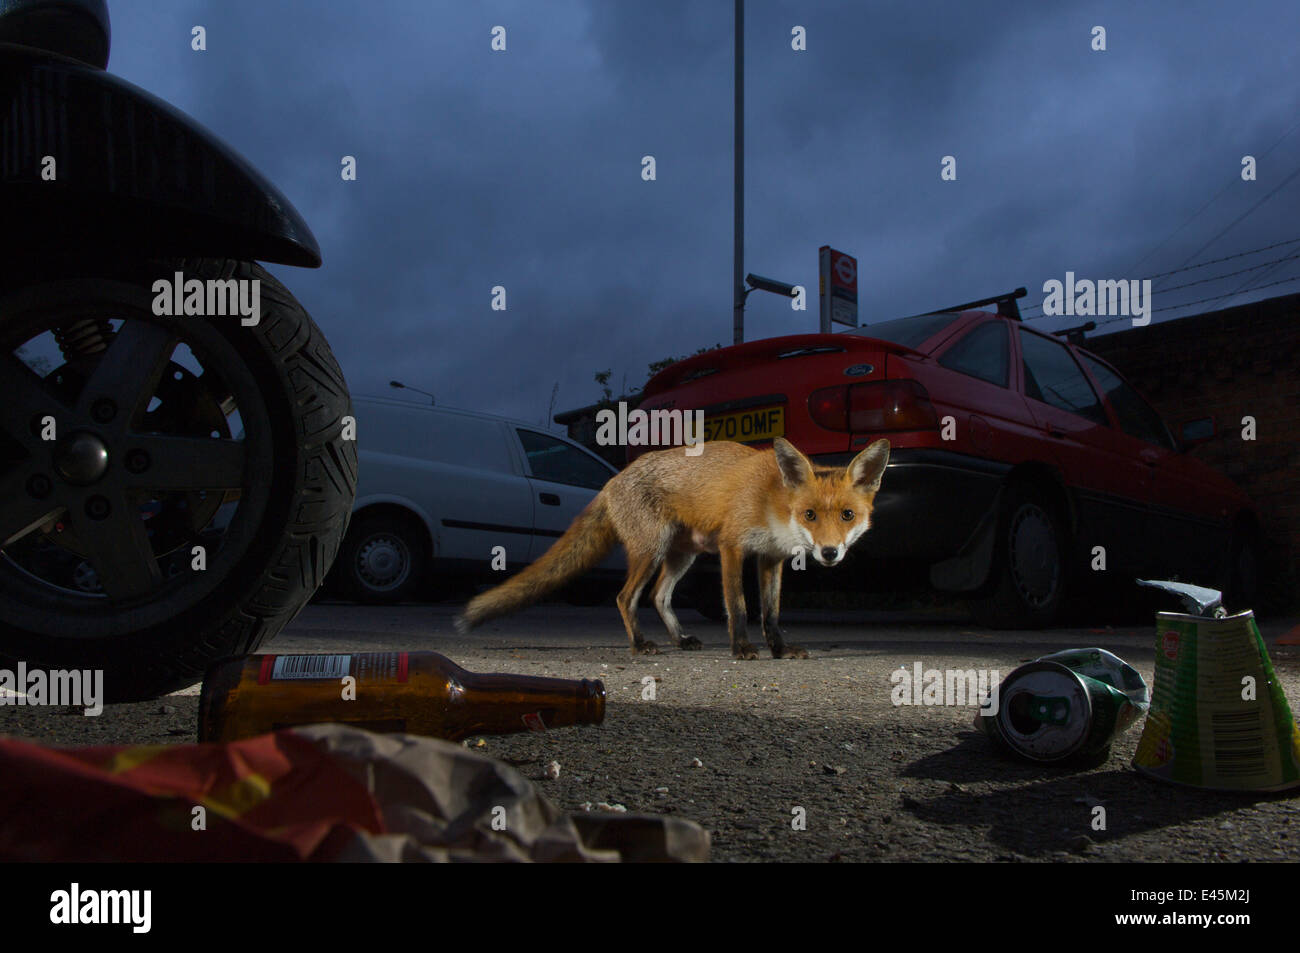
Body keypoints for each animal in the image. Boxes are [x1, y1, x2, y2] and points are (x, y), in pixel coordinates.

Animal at [454, 436, 890, 659]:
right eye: (810, 514)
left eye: (848, 515)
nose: (829, 553)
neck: (774, 503)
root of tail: (613, 480)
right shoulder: (733, 547)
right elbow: (739, 606)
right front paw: (741, 648)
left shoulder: (771, 558)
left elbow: (771, 613)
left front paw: (779, 649)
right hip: (652, 551)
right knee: (626, 597)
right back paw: (640, 644)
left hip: (683, 556)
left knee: (658, 597)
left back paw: (679, 640)